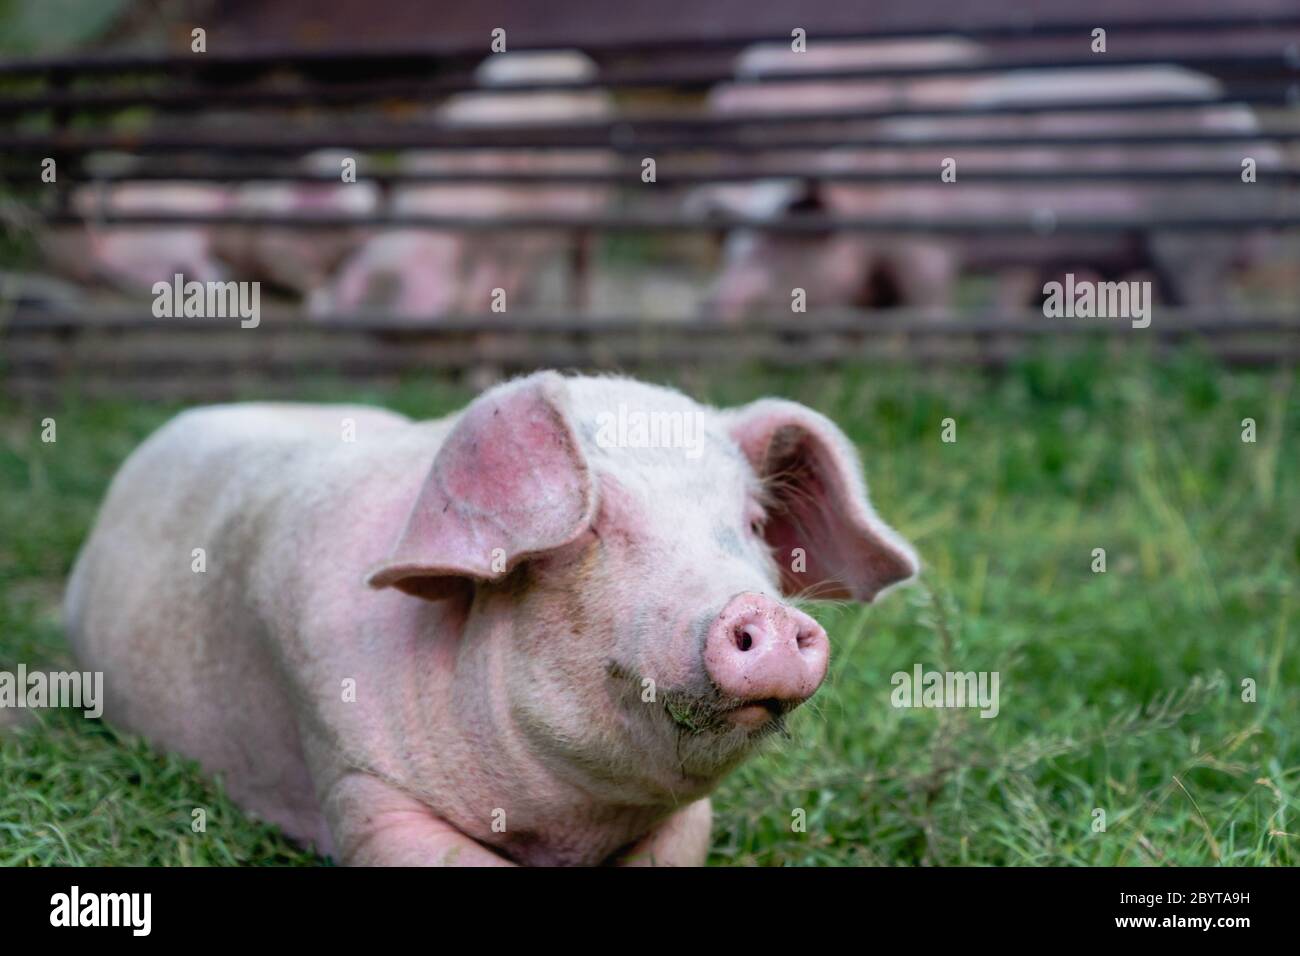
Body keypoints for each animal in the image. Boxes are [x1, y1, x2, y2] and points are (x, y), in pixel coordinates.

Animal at [64, 372, 917, 866]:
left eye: (752, 524)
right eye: (593, 524)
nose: (761, 610)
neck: (568, 826)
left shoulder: (686, 822)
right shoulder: (355, 777)